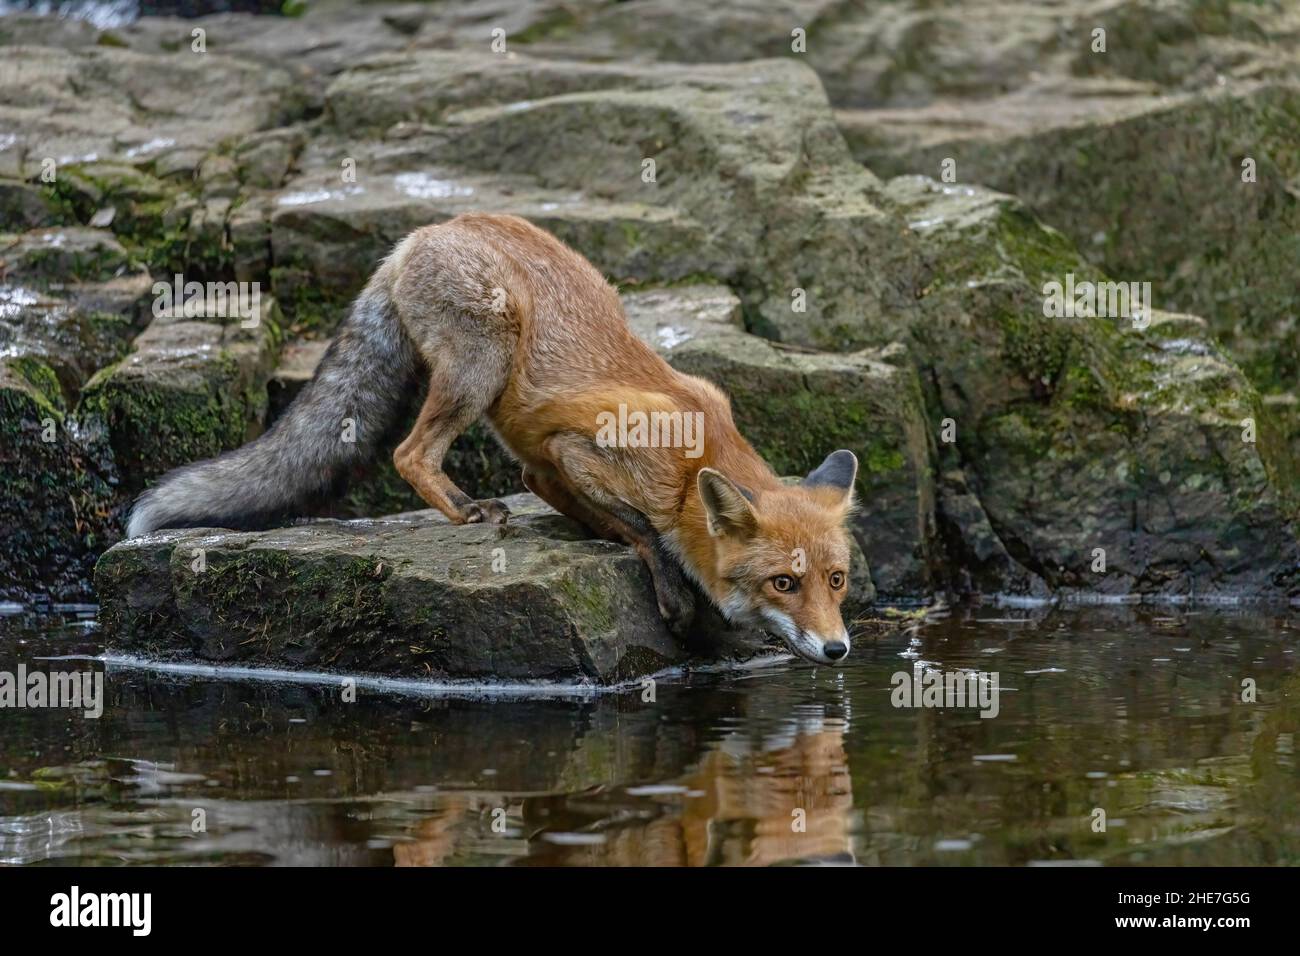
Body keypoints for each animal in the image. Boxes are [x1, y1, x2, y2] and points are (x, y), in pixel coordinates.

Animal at [127, 213, 860, 664]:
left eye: (837, 580)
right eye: (783, 584)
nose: (839, 651)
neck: (691, 469)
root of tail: (423, 232)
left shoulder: (548, 464)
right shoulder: (579, 455)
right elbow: (641, 534)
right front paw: (674, 594)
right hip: (483, 361)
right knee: (409, 453)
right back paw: (462, 509)